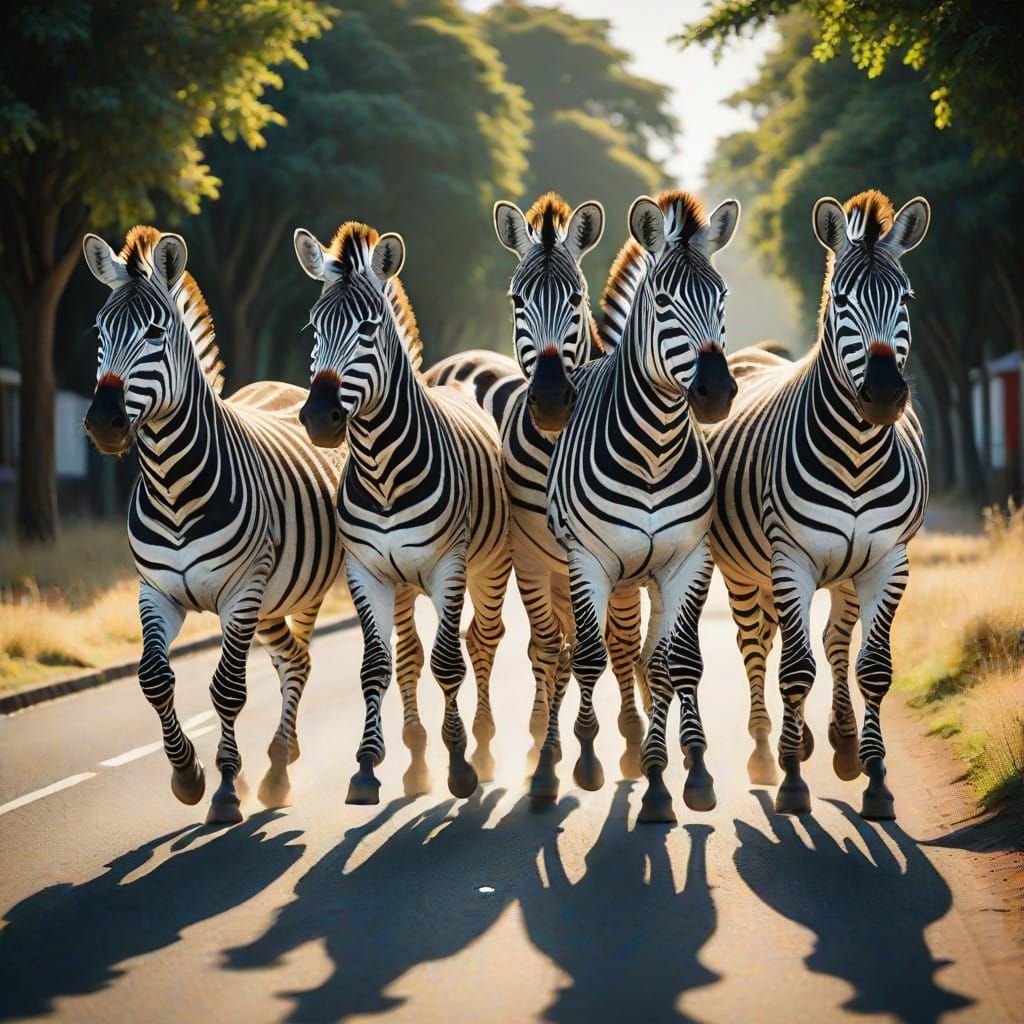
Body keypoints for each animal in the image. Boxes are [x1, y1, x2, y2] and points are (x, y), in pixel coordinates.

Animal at [82, 226, 345, 824]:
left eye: (155, 332)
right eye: (100, 331)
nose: (103, 423)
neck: (173, 487)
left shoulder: (239, 592)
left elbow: (227, 689)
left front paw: (225, 788)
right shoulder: (155, 591)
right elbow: (155, 678)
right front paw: (188, 775)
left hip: (300, 589)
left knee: (305, 660)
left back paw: (277, 770)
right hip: (271, 601)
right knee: (293, 659)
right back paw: (276, 764)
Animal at [294, 220, 511, 803]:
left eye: (369, 327)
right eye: (314, 326)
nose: (319, 418)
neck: (382, 469)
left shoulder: (447, 566)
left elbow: (448, 663)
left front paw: (459, 764)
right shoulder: (366, 570)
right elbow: (378, 665)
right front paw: (368, 766)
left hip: (488, 569)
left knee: (480, 642)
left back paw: (484, 748)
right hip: (403, 586)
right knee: (410, 655)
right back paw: (415, 762)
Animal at [424, 193, 650, 791]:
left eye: (576, 297)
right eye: (516, 299)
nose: (550, 401)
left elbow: (615, 646)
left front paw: (624, 744)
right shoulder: (530, 555)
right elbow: (552, 648)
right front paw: (551, 759)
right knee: (496, 640)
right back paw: (493, 745)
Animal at [544, 190, 740, 823]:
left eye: (722, 298)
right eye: (662, 301)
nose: (715, 393)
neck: (653, 450)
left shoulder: (689, 561)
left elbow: (677, 664)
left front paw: (682, 773)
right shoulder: (588, 561)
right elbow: (588, 656)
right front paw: (589, 762)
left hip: (651, 579)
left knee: (650, 657)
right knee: (565, 655)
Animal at [706, 190, 930, 819]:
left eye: (906, 298)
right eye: (843, 301)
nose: (883, 395)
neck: (855, 455)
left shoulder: (889, 560)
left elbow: (871, 667)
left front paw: (875, 779)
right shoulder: (793, 559)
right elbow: (793, 670)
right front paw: (791, 779)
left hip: (846, 572)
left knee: (832, 641)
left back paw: (841, 744)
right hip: (748, 570)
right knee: (759, 645)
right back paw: (768, 751)